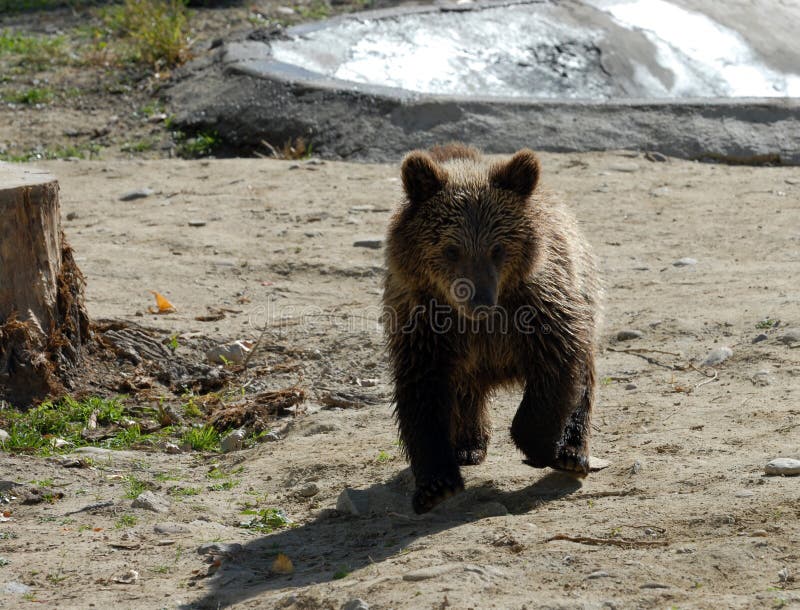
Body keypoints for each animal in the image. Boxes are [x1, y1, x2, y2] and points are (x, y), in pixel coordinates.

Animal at [383, 143, 601, 514]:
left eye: (498, 248)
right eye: (451, 249)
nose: (480, 301)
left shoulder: (540, 308)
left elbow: (556, 369)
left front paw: (542, 448)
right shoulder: (426, 327)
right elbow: (422, 395)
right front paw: (436, 484)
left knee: (583, 380)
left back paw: (573, 452)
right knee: (465, 391)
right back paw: (468, 444)